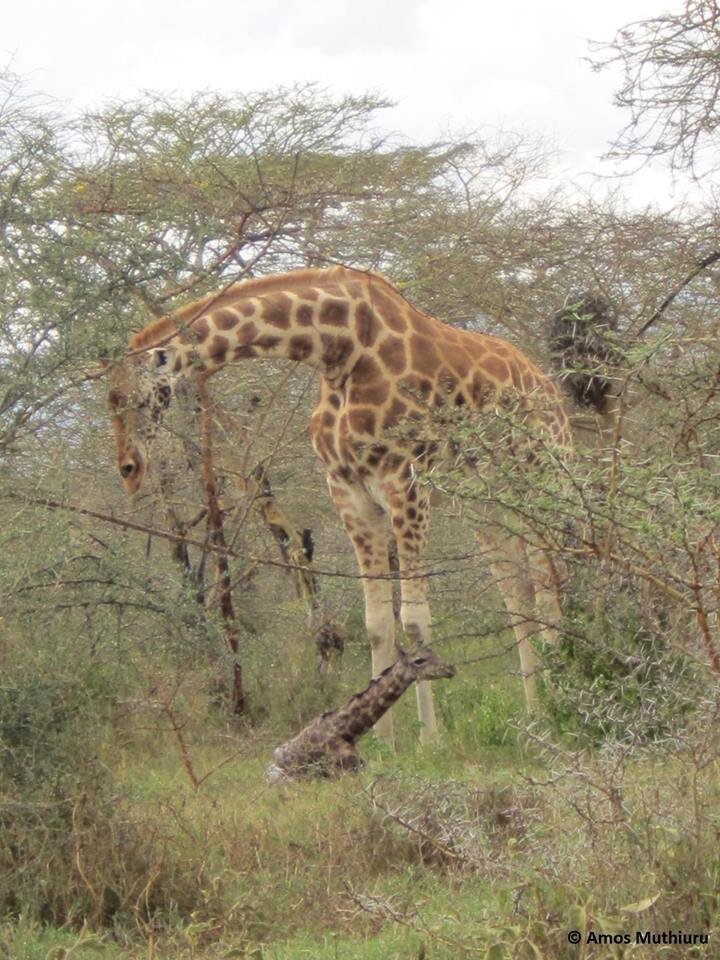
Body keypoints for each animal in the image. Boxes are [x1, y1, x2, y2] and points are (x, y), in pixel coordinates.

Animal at [107, 265, 571, 744]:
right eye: (110, 399)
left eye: (140, 398)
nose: (129, 470)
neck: (338, 350)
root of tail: (552, 393)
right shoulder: (349, 492)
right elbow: (376, 623)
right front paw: (380, 738)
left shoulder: (406, 483)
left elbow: (415, 619)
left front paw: (430, 739)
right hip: (487, 507)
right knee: (519, 597)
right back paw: (535, 713)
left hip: (542, 484)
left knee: (550, 586)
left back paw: (561, 703)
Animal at [267, 648, 456, 783]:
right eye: (418, 661)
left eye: (434, 652)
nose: (450, 668)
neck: (346, 731)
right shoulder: (345, 771)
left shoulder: (360, 766)